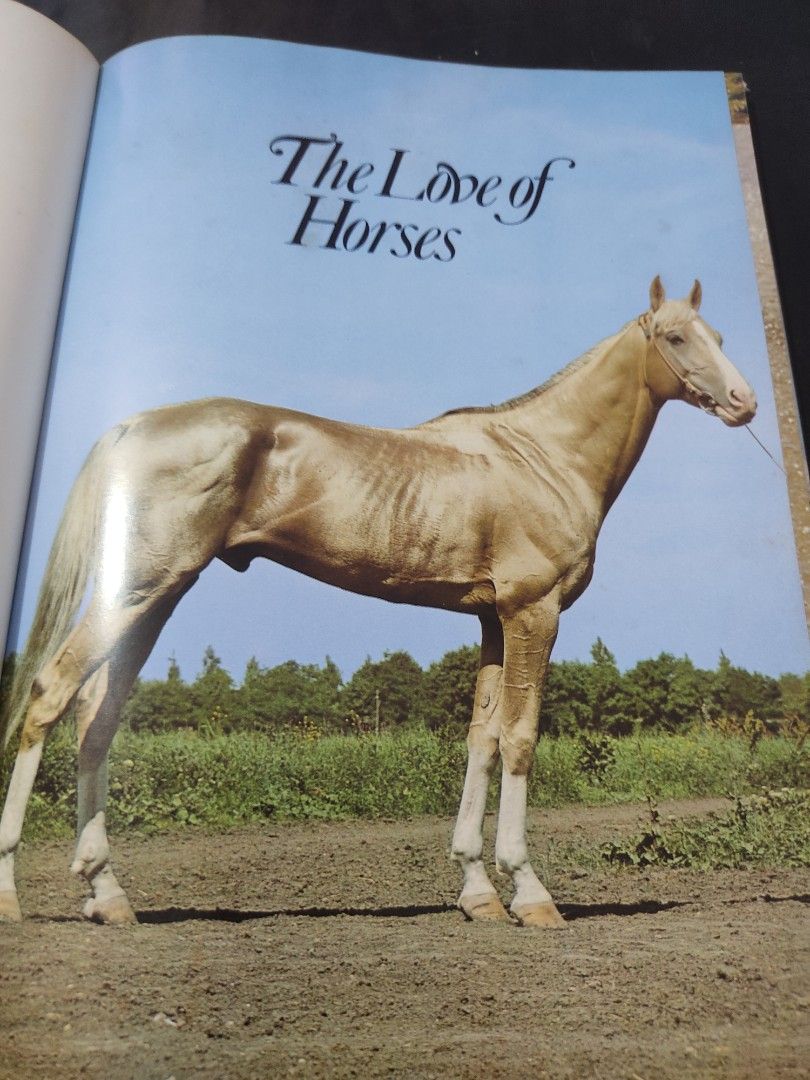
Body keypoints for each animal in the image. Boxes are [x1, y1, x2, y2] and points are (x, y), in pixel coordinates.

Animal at [0, 277, 756, 927]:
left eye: (719, 333)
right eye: (677, 337)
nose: (745, 400)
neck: (543, 456)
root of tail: (131, 426)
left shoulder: (490, 619)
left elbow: (480, 740)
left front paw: (478, 891)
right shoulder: (533, 613)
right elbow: (520, 739)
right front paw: (529, 892)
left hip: (155, 596)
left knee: (96, 716)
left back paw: (107, 894)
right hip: (141, 590)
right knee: (52, 693)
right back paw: (13, 892)